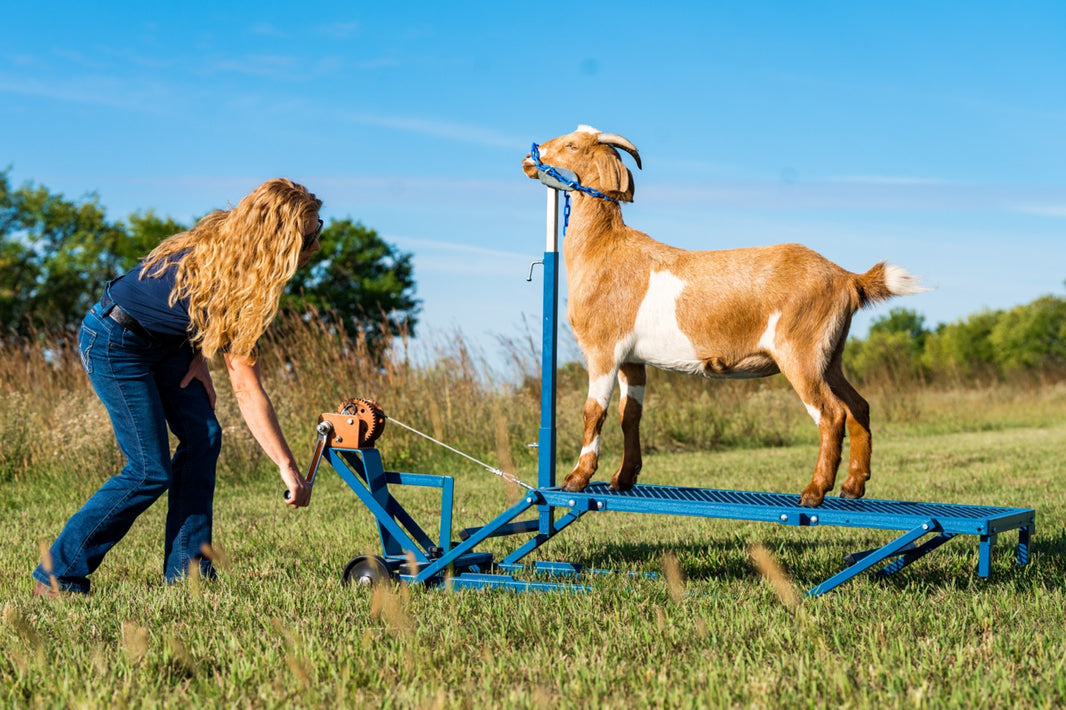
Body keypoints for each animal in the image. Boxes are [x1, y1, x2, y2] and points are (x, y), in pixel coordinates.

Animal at [522, 125, 928, 507]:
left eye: (572, 145)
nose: (530, 157)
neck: (605, 251)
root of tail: (847, 277)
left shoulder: (603, 348)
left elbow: (594, 411)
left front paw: (577, 478)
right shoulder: (633, 359)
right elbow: (630, 415)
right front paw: (623, 479)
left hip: (800, 350)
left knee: (831, 414)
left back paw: (814, 492)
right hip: (829, 354)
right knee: (859, 406)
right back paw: (853, 485)